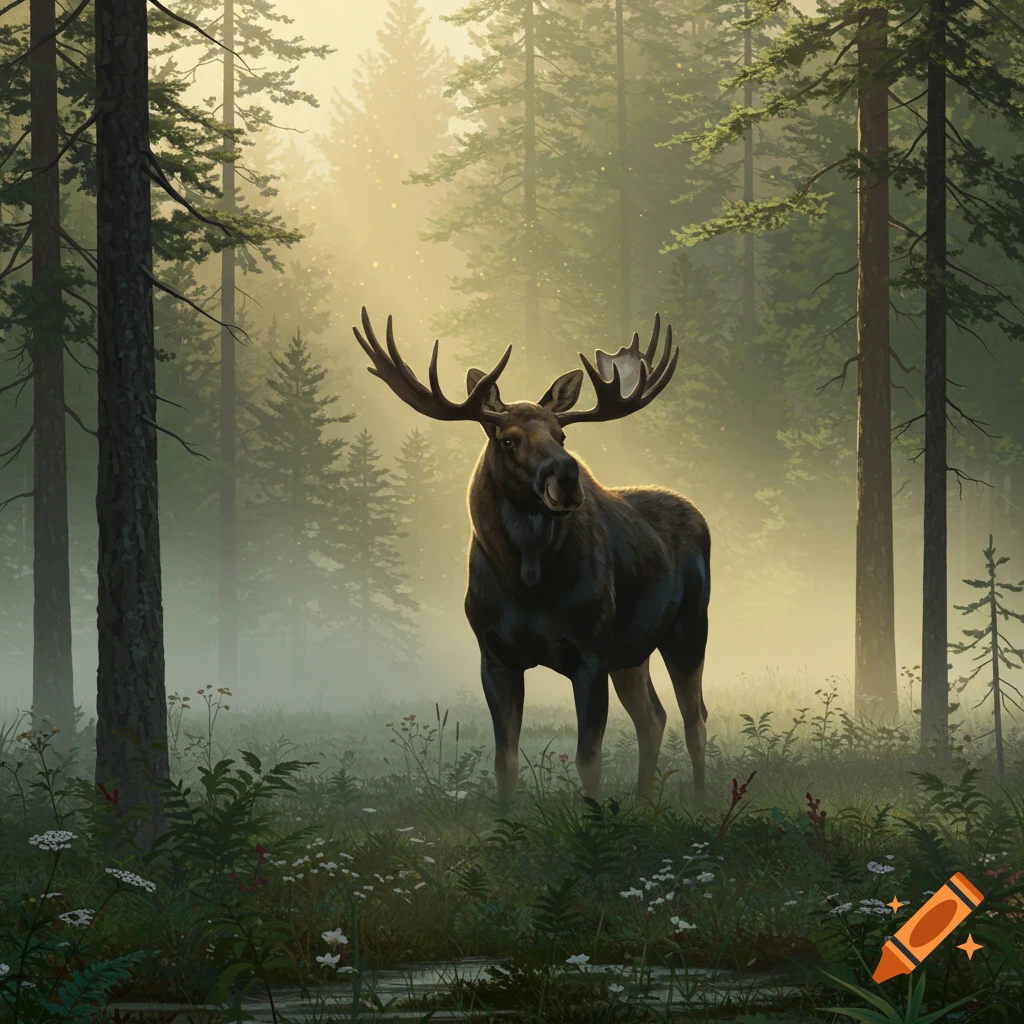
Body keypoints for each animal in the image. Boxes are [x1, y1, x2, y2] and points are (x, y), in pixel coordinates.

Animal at [352, 307, 711, 803]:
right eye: (508, 439)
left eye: (561, 435)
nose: (567, 475)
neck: (529, 581)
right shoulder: (494, 655)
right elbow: (504, 761)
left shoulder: (590, 652)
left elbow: (588, 760)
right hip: (632, 649)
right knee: (653, 717)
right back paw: (642, 803)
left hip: (689, 627)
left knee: (695, 720)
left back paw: (701, 801)